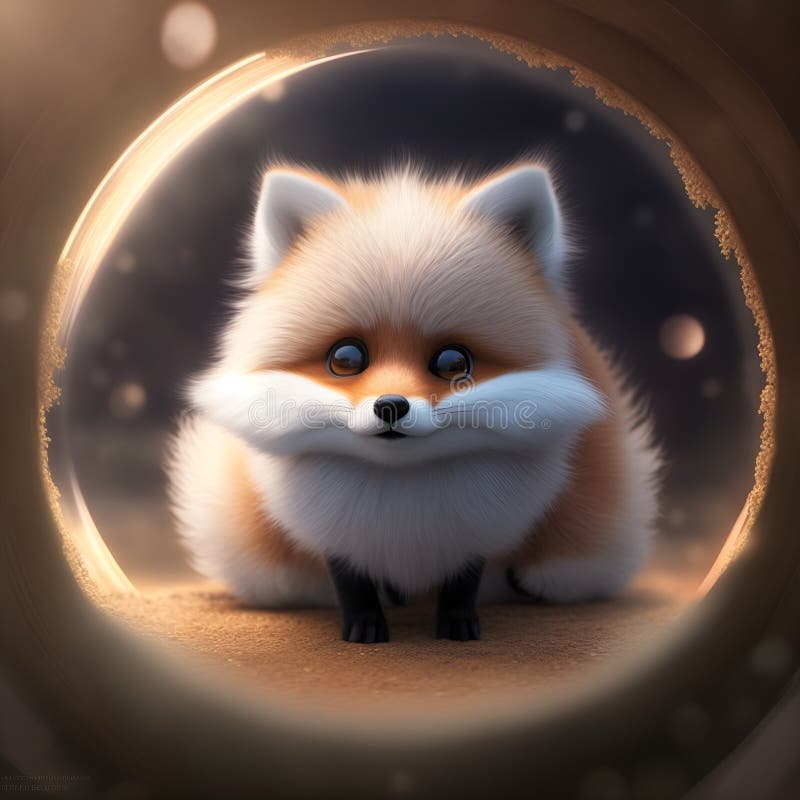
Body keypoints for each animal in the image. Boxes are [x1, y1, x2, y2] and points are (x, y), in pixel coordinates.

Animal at [166, 161, 661, 643]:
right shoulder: (333, 537)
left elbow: (463, 583)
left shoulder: (479, 530)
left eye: (453, 362)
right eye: (346, 358)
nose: (390, 406)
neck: (401, 495)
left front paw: (458, 627)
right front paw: (365, 627)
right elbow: (352, 584)